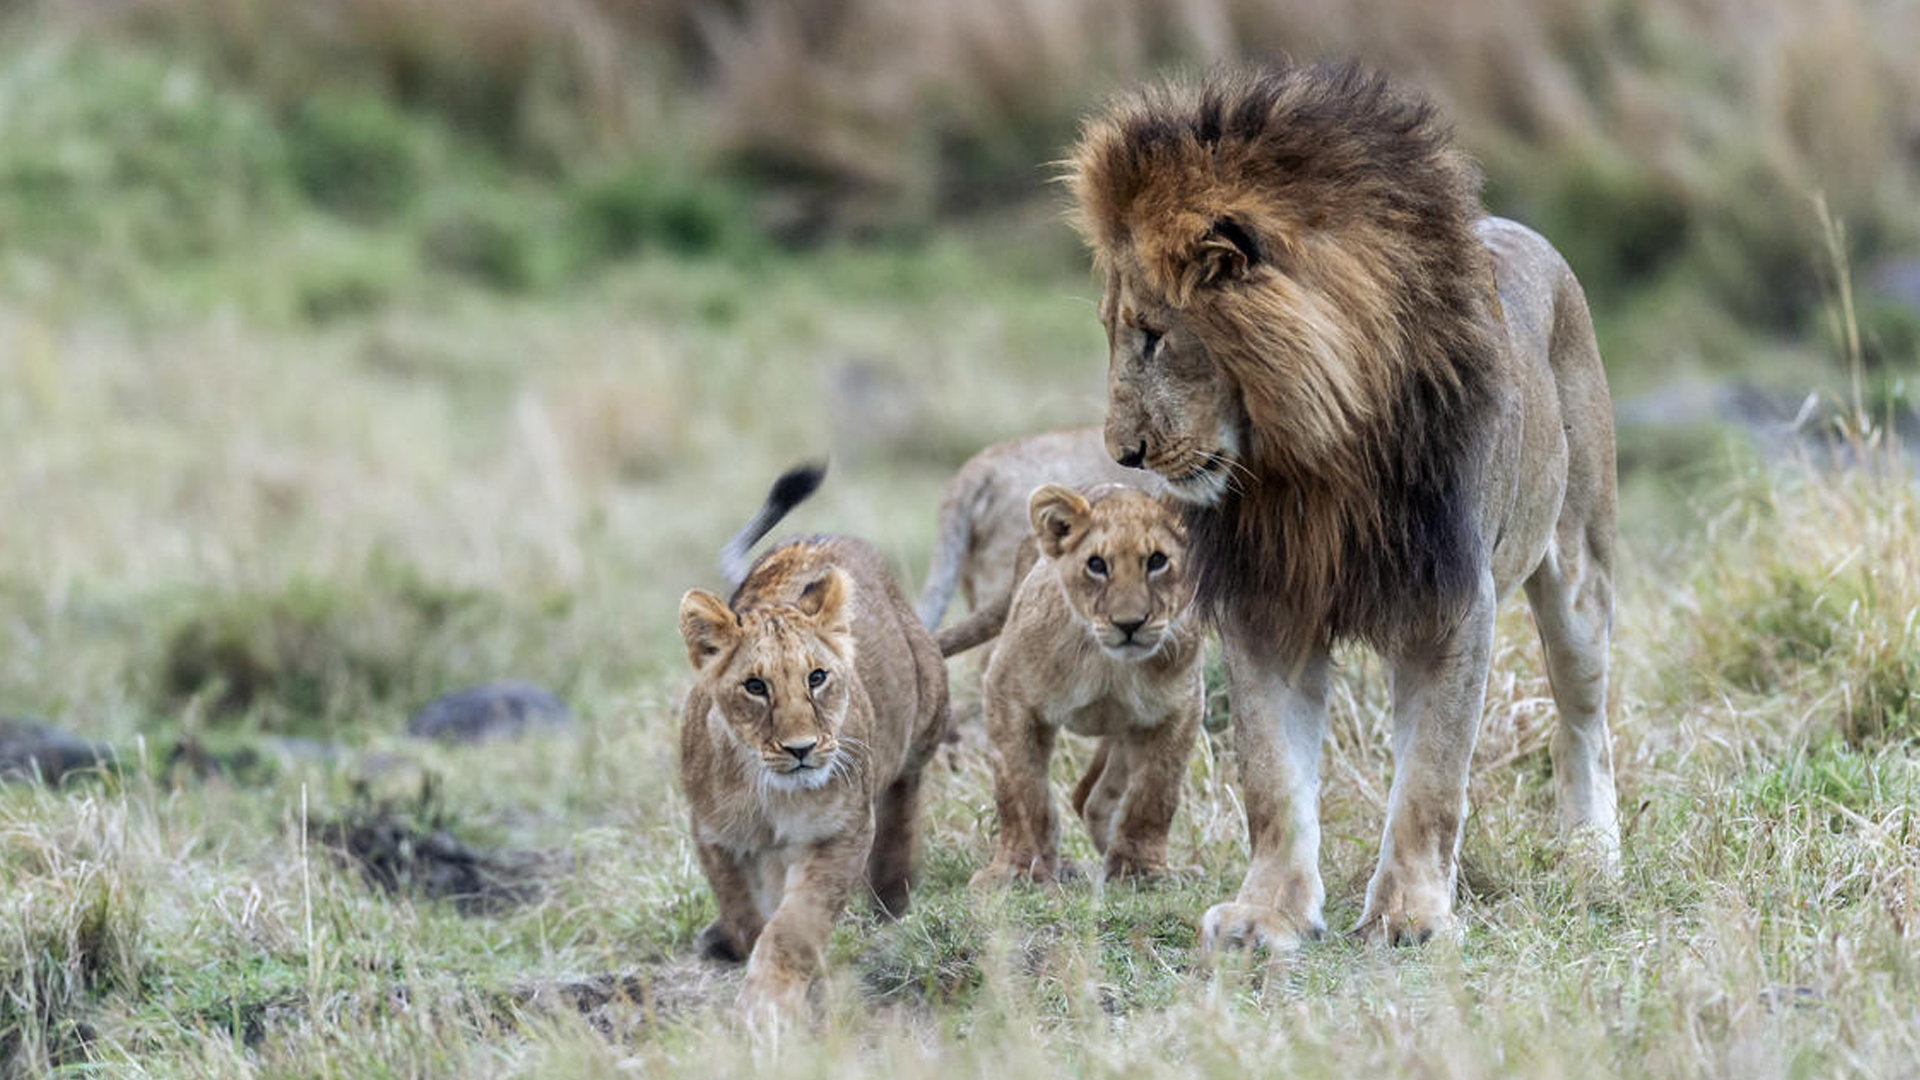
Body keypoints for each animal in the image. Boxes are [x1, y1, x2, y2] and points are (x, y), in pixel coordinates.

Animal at [678, 464, 950, 1017]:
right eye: (755, 687)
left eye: (817, 678)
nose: (800, 748)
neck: (769, 792)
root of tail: (821, 536)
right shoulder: (714, 837)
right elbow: (746, 912)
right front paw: (752, 961)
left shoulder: (841, 831)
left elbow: (795, 924)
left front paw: (770, 1001)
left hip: (927, 704)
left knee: (904, 789)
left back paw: (892, 888)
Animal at [950, 482, 1205, 887]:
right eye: (1097, 565)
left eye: (1157, 561)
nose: (1129, 624)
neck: (1108, 666)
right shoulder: (1006, 693)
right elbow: (1021, 790)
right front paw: (1017, 869)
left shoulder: (1180, 709)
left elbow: (1155, 793)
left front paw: (1143, 869)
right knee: (1086, 797)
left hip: (1127, 730)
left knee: (1094, 797)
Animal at [1067, 63, 1620, 949]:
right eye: (1115, 331)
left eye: (1154, 333)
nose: (1124, 453)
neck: (1312, 458)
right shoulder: (1266, 604)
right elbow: (1273, 779)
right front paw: (1268, 914)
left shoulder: (1451, 602)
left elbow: (1431, 777)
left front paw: (1412, 917)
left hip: (1579, 567)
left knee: (1584, 719)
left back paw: (1593, 855)